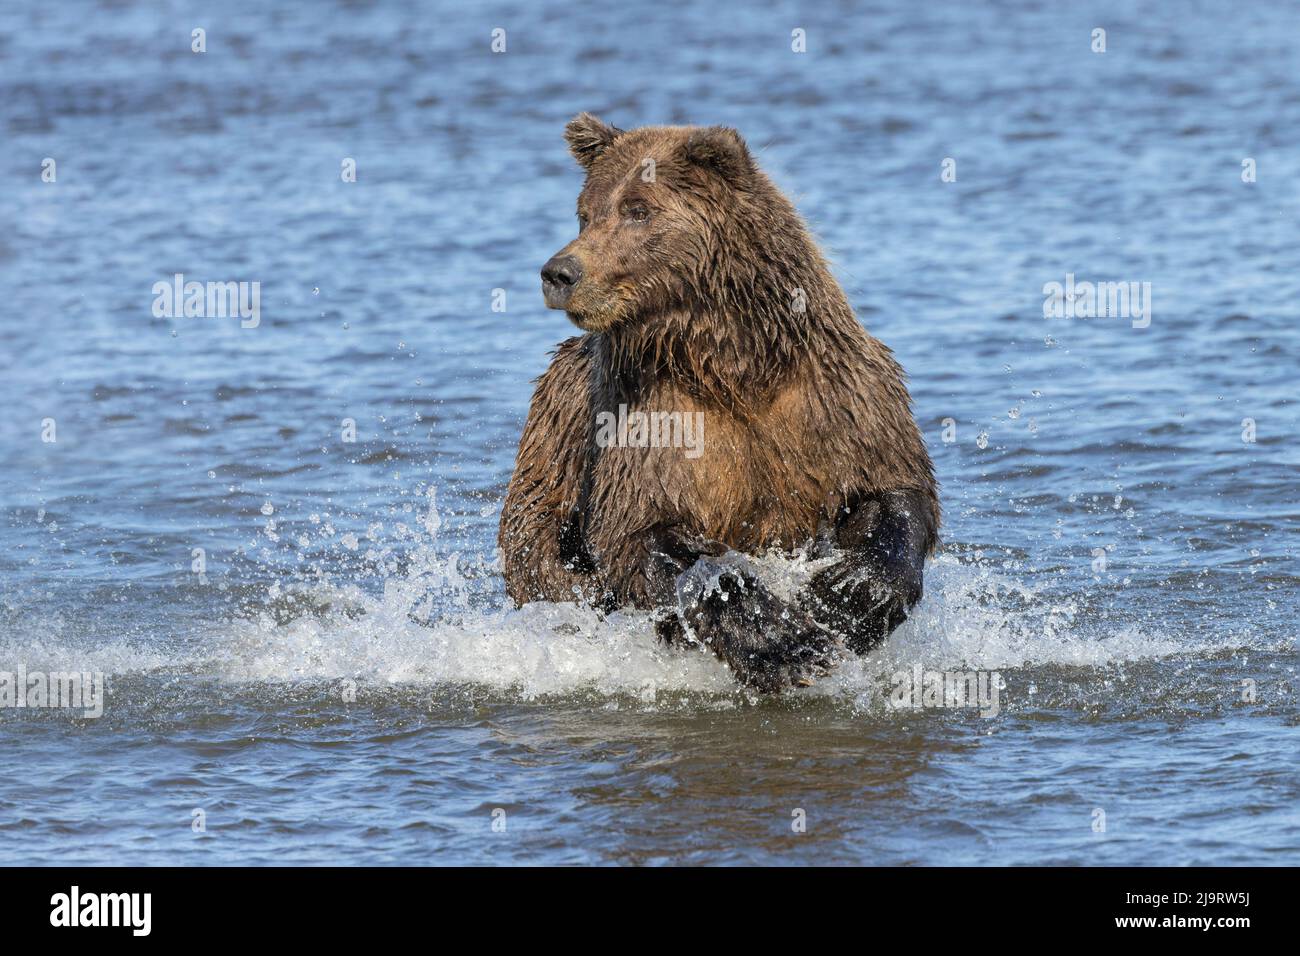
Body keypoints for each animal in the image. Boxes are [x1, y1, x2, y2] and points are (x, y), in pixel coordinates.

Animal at [499, 113, 939, 692]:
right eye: (586, 212)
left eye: (638, 210)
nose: (559, 272)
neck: (733, 366)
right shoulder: (650, 418)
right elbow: (642, 531)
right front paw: (783, 644)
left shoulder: (835, 397)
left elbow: (895, 486)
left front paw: (850, 593)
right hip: (548, 473)